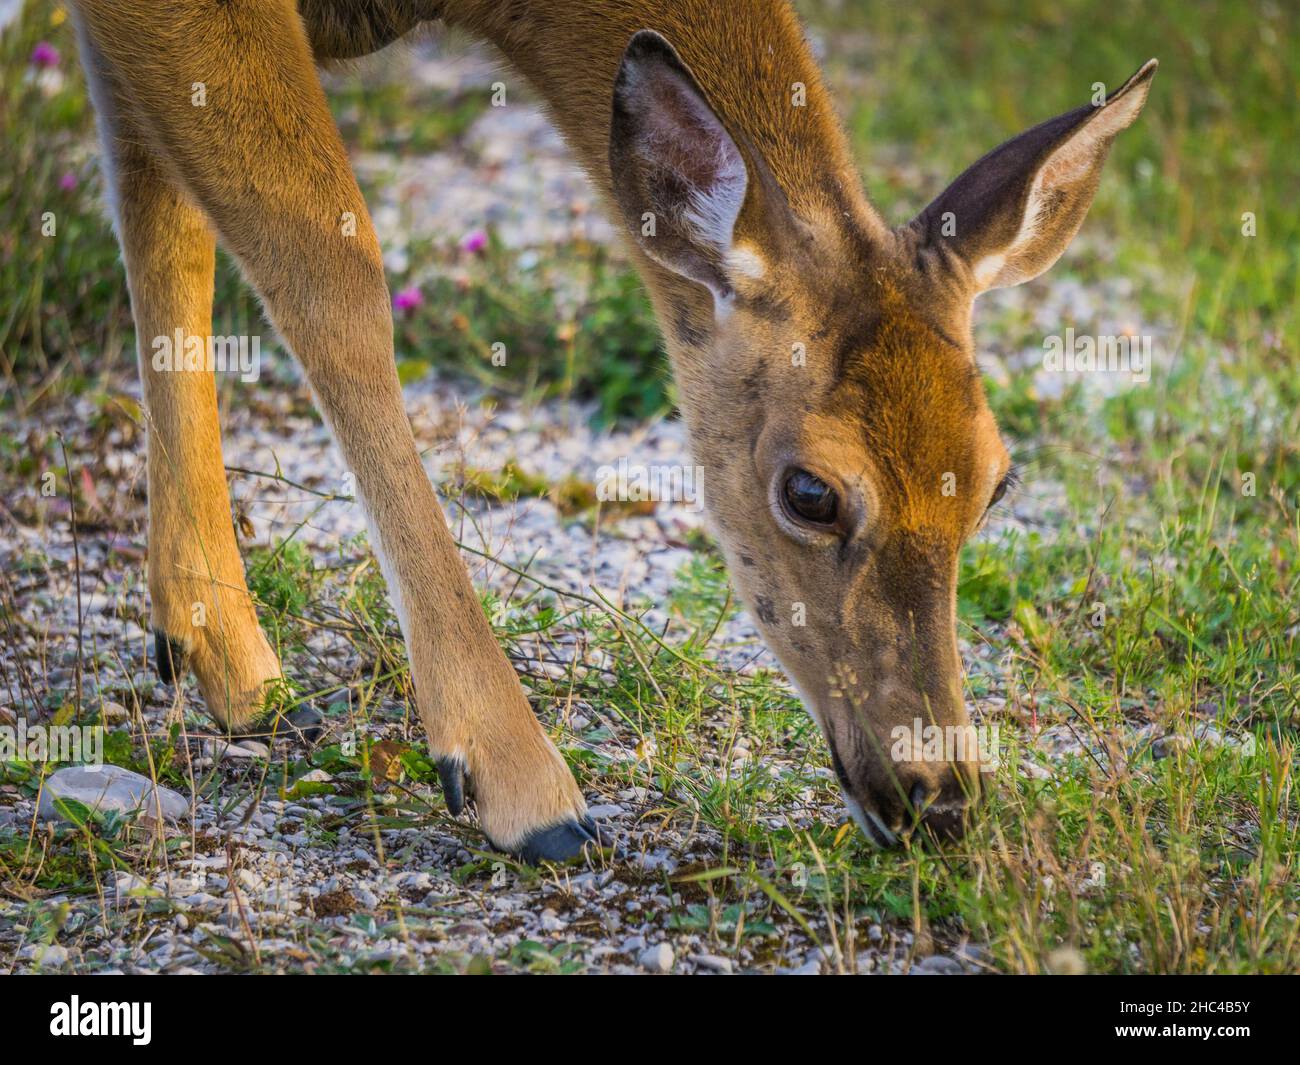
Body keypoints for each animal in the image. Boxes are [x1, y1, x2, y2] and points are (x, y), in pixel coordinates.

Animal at [67, 0, 1156, 862]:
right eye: (810, 492)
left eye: (995, 481)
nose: (939, 800)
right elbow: (328, 263)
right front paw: (518, 783)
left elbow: (160, 205)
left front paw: (214, 649)